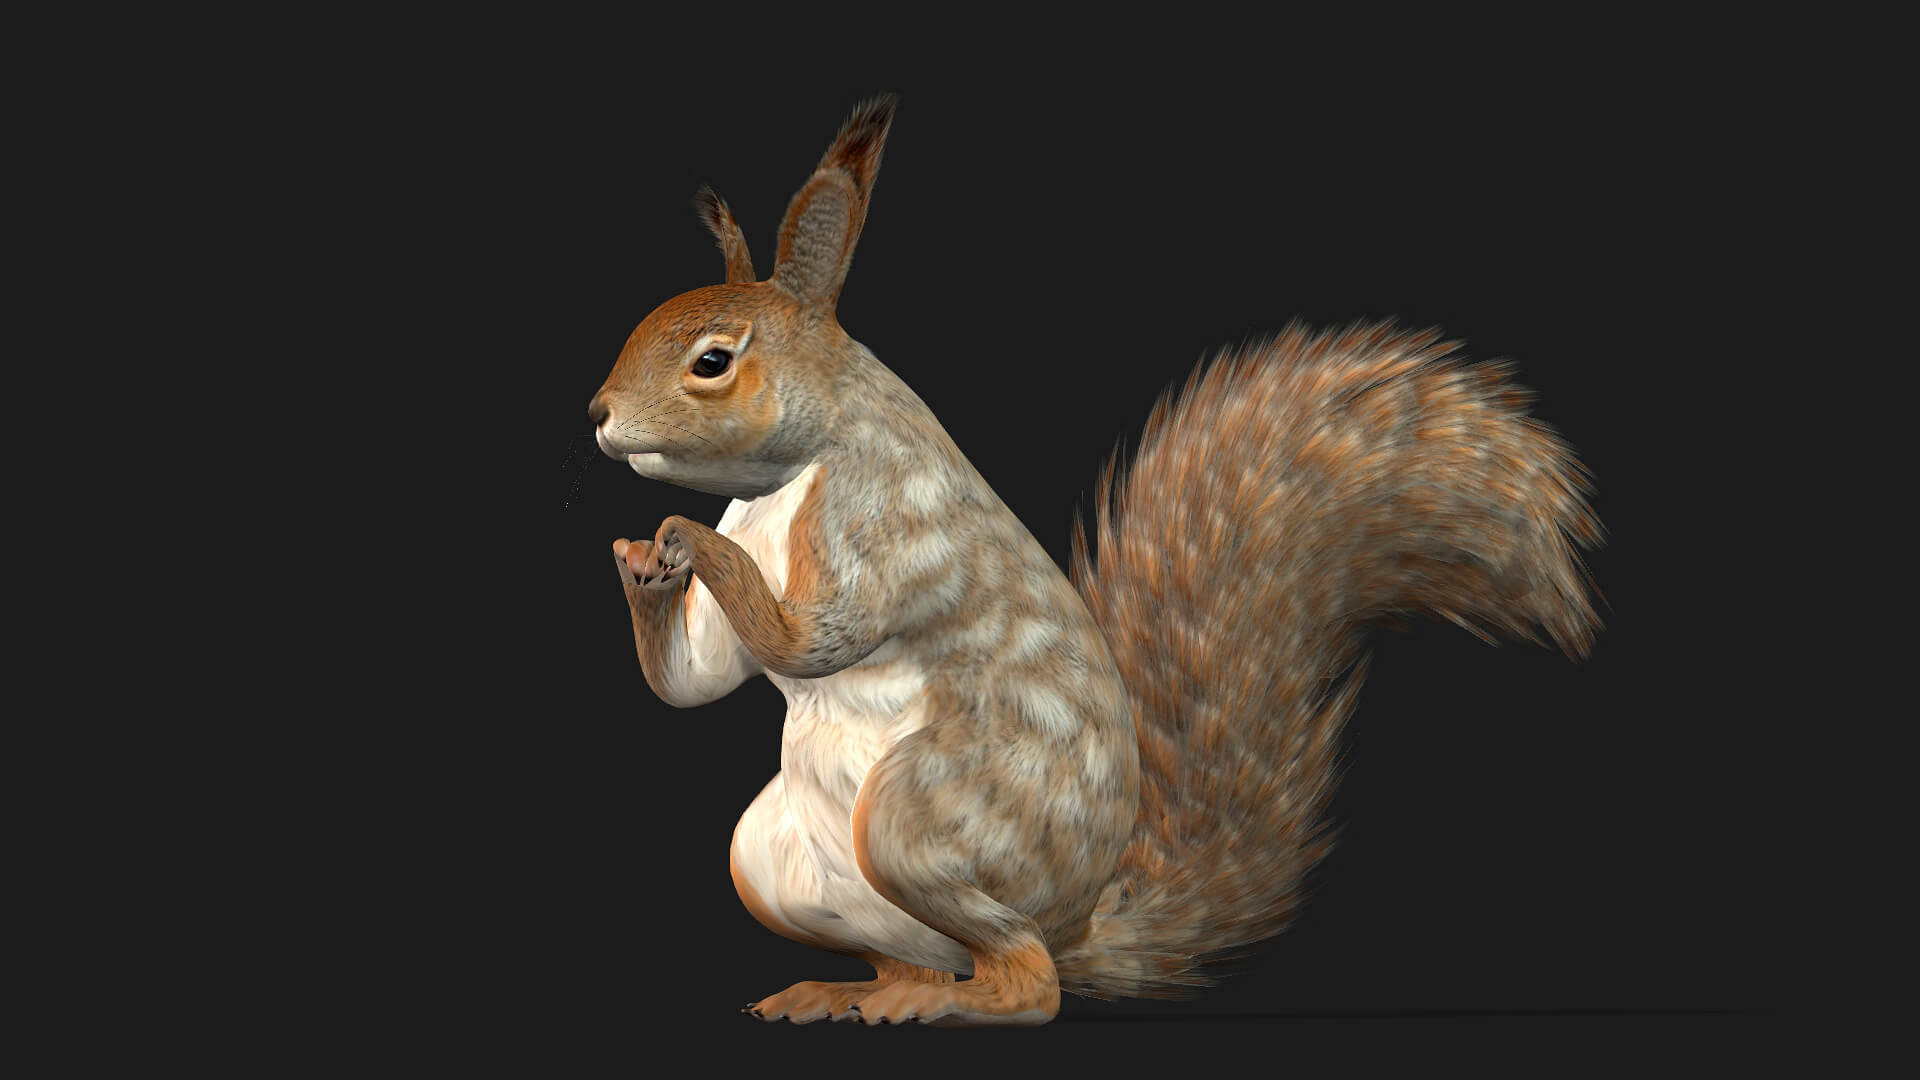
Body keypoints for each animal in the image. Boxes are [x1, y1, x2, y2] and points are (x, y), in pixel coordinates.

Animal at [589, 95, 1601, 1026]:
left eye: (712, 361)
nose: (597, 415)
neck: (793, 470)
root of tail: (1078, 923)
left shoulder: (881, 517)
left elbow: (816, 640)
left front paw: (685, 538)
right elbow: (699, 679)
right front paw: (639, 567)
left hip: (926, 816)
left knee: (1029, 984)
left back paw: (951, 1005)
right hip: (770, 861)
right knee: (926, 960)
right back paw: (849, 993)